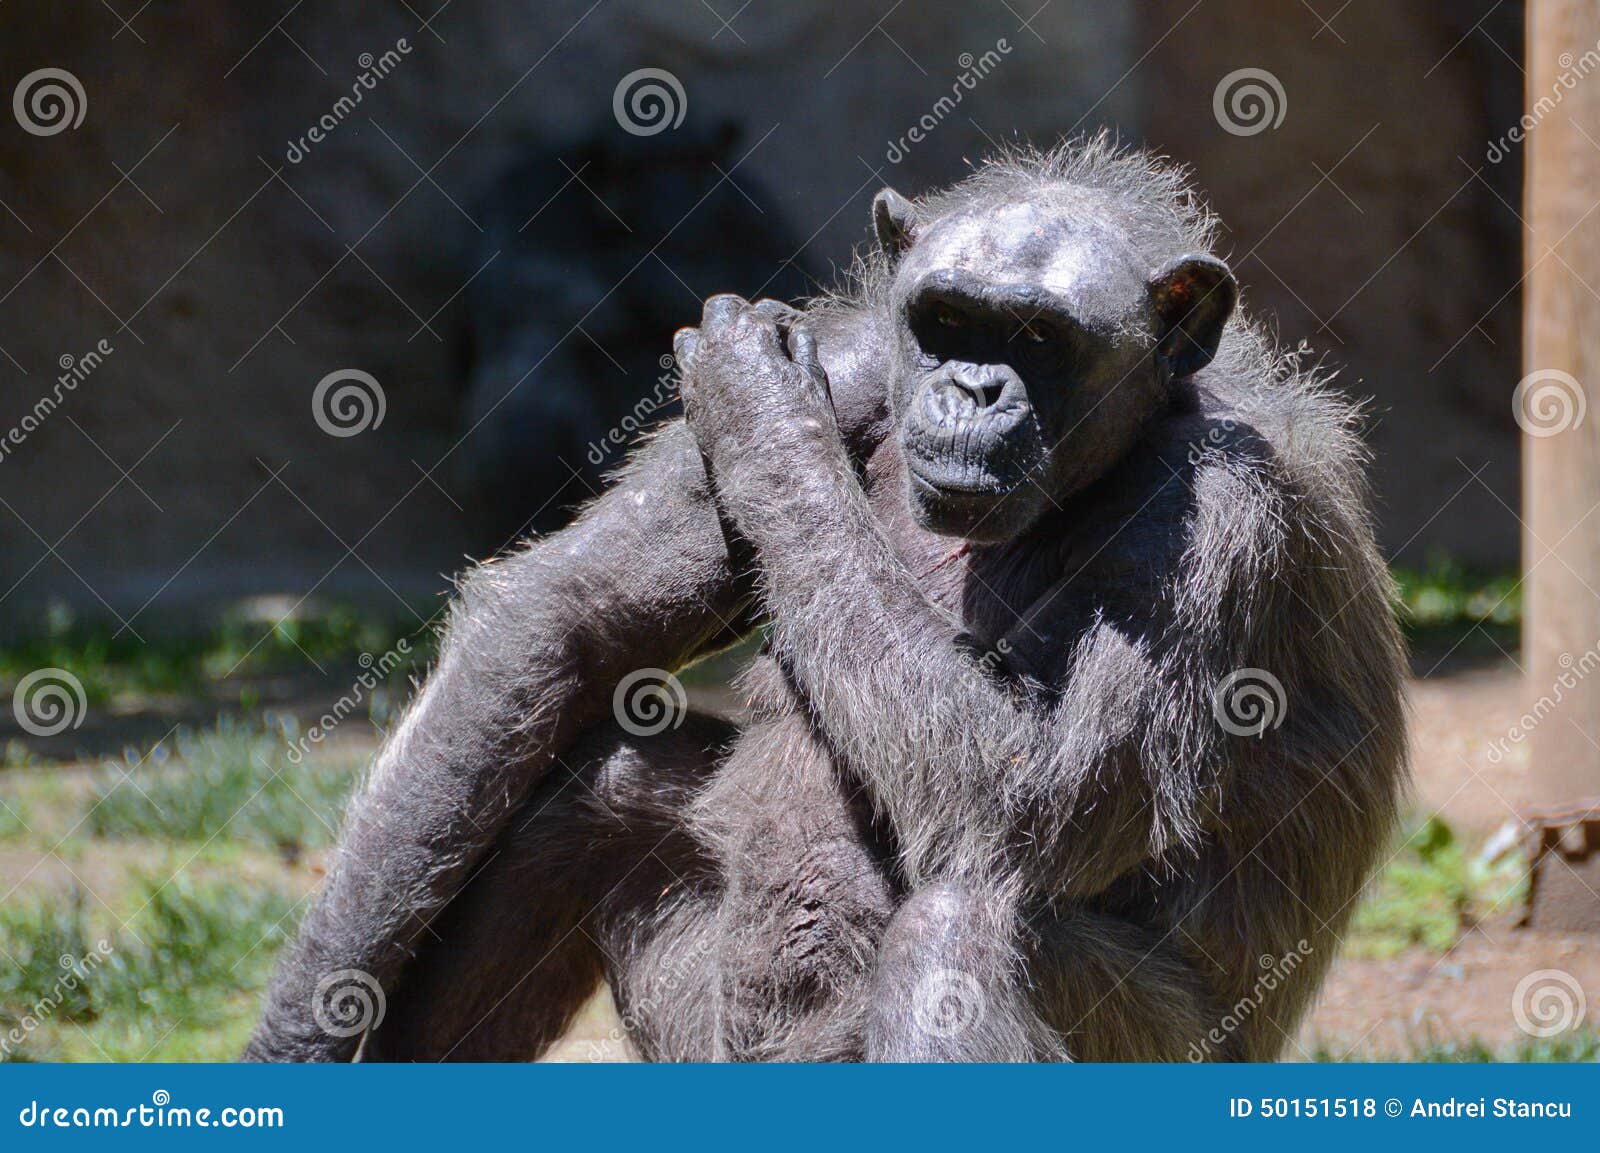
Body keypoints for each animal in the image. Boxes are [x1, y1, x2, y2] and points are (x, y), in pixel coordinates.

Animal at [246, 136, 1407, 1062]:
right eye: (949, 318)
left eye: (1039, 339)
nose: (973, 387)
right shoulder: (855, 358)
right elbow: (563, 616)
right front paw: (303, 1032)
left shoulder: (1212, 524)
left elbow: (1039, 798)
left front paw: (761, 410)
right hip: (699, 1035)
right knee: (593, 786)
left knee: (962, 933)